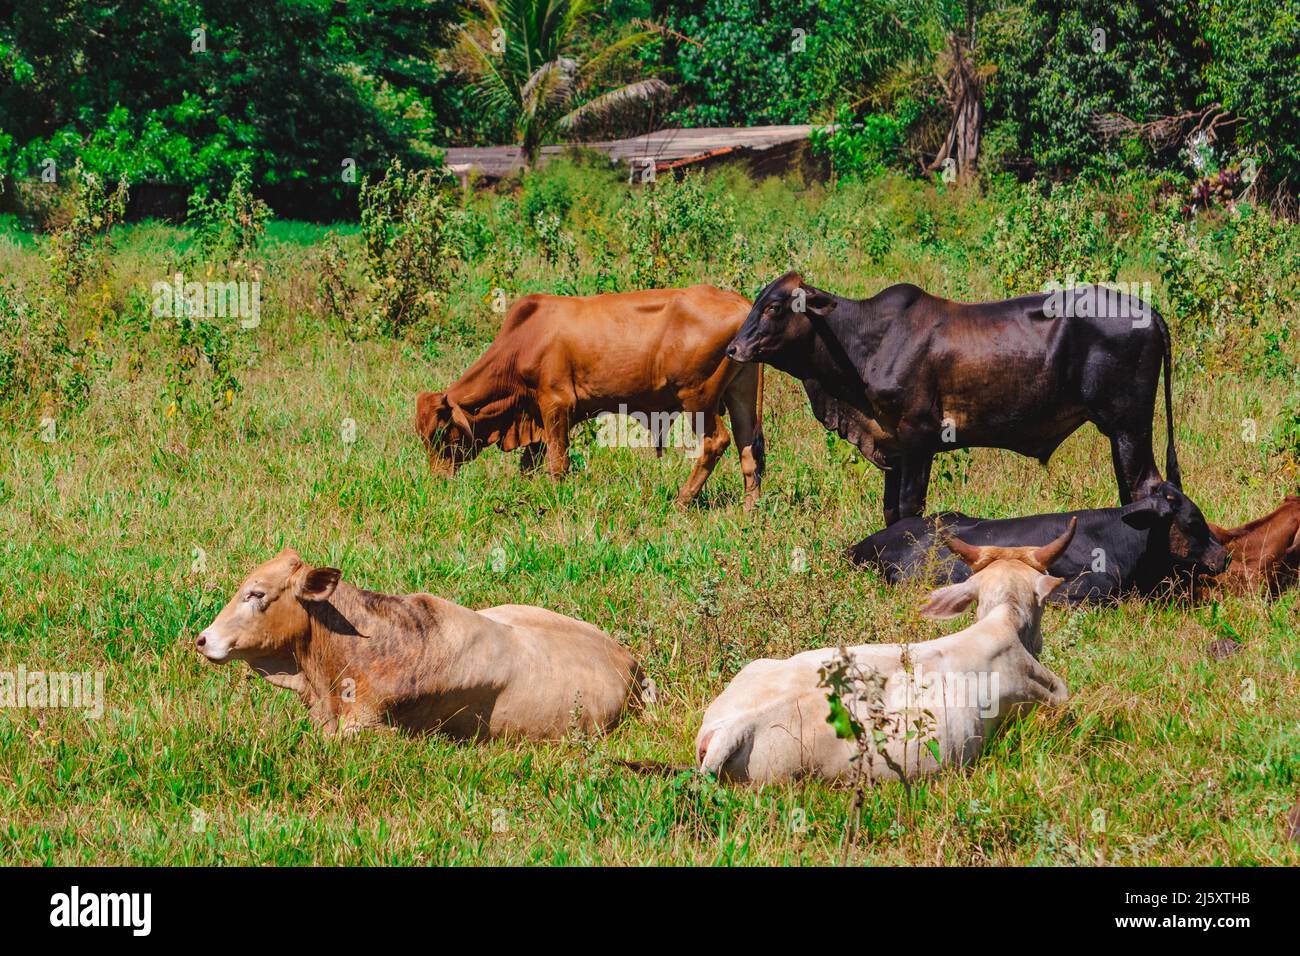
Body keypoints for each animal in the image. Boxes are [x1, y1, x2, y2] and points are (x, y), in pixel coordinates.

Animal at [416, 286, 765, 510]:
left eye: (442, 434)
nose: (438, 480)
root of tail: (741, 303)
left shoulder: (556, 404)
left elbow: (557, 461)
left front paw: (553, 497)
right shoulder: (535, 414)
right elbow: (528, 463)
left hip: (697, 399)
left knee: (716, 442)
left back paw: (683, 500)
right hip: (740, 395)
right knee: (749, 446)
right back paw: (750, 508)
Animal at [726, 271, 1180, 525]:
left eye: (775, 307)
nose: (733, 349)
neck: (864, 341)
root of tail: (1148, 311)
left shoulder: (918, 436)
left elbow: (909, 507)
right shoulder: (891, 444)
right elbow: (890, 510)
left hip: (1128, 428)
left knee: (1145, 488)